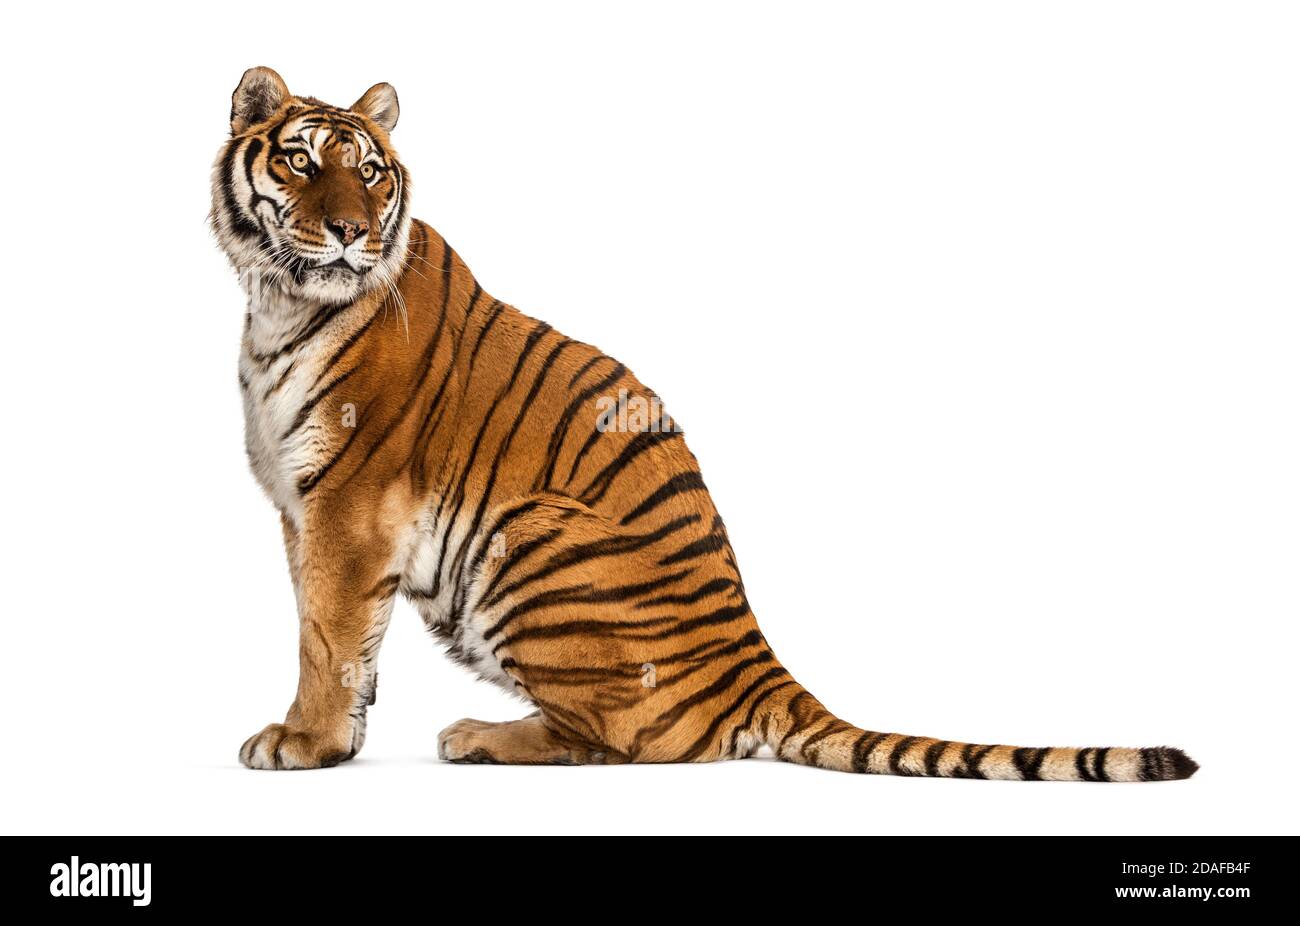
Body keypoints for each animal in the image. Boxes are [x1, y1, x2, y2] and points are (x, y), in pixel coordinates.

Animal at [211, 66, 1198, 782]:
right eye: (301, 161)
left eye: (369, 171)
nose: (350, 231)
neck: (278, 304)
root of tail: (756, 661)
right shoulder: (300, 510)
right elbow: (340, 638)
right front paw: (336, 738)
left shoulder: (348, 505)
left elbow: (325, 637)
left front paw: (303, 744)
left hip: (528, 537)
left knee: (636, 740)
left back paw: (478, 736)